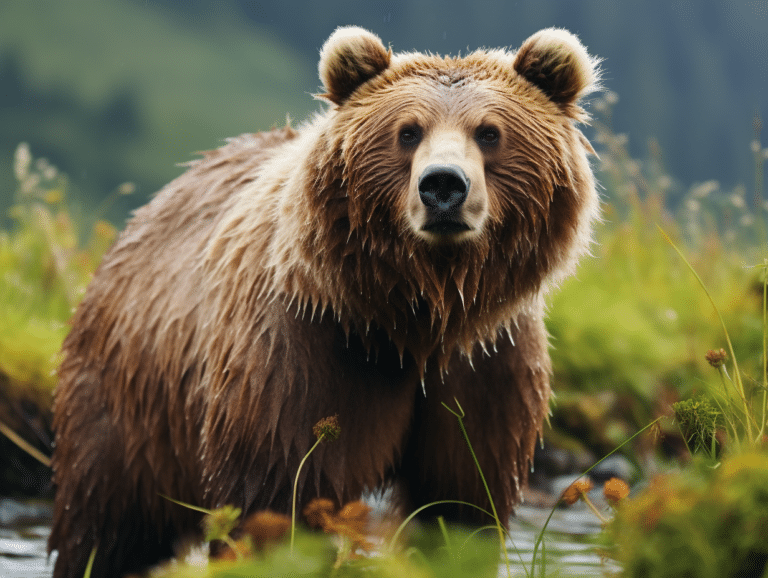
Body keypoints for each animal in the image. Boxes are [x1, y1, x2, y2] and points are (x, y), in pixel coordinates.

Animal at [48, 26, 601, 578]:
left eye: (488, 132)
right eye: (408, 132)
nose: (443, 184)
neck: (415, 316)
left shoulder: (486, 364)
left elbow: (461, 499)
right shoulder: (304, 350)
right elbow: (278, 492)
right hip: (131, 401)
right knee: (106, 520)